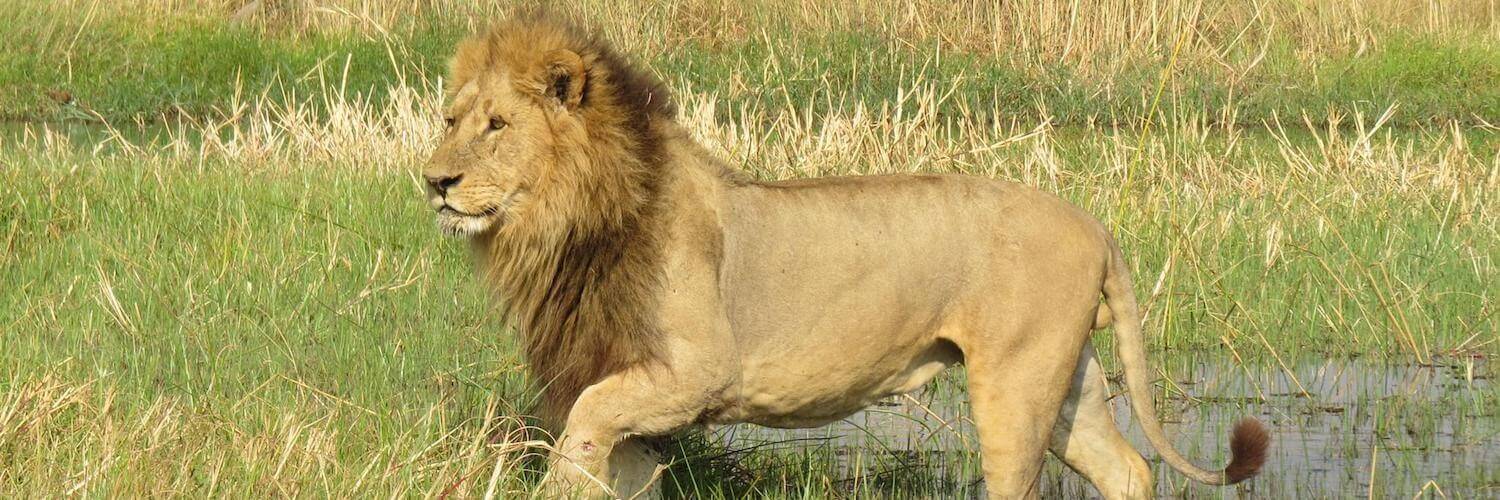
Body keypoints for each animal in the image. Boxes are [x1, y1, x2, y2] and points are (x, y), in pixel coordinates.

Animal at [420, 15, 1269, 499]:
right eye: (451, 118)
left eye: (497, 125)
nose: (434, 181)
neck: (567, 226)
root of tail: (1095, 226)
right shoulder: (631, 385)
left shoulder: (697, 372)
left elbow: (583, 428)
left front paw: (561, 479)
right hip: (1067, 379)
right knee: (1128, 467)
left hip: (1015, 384)